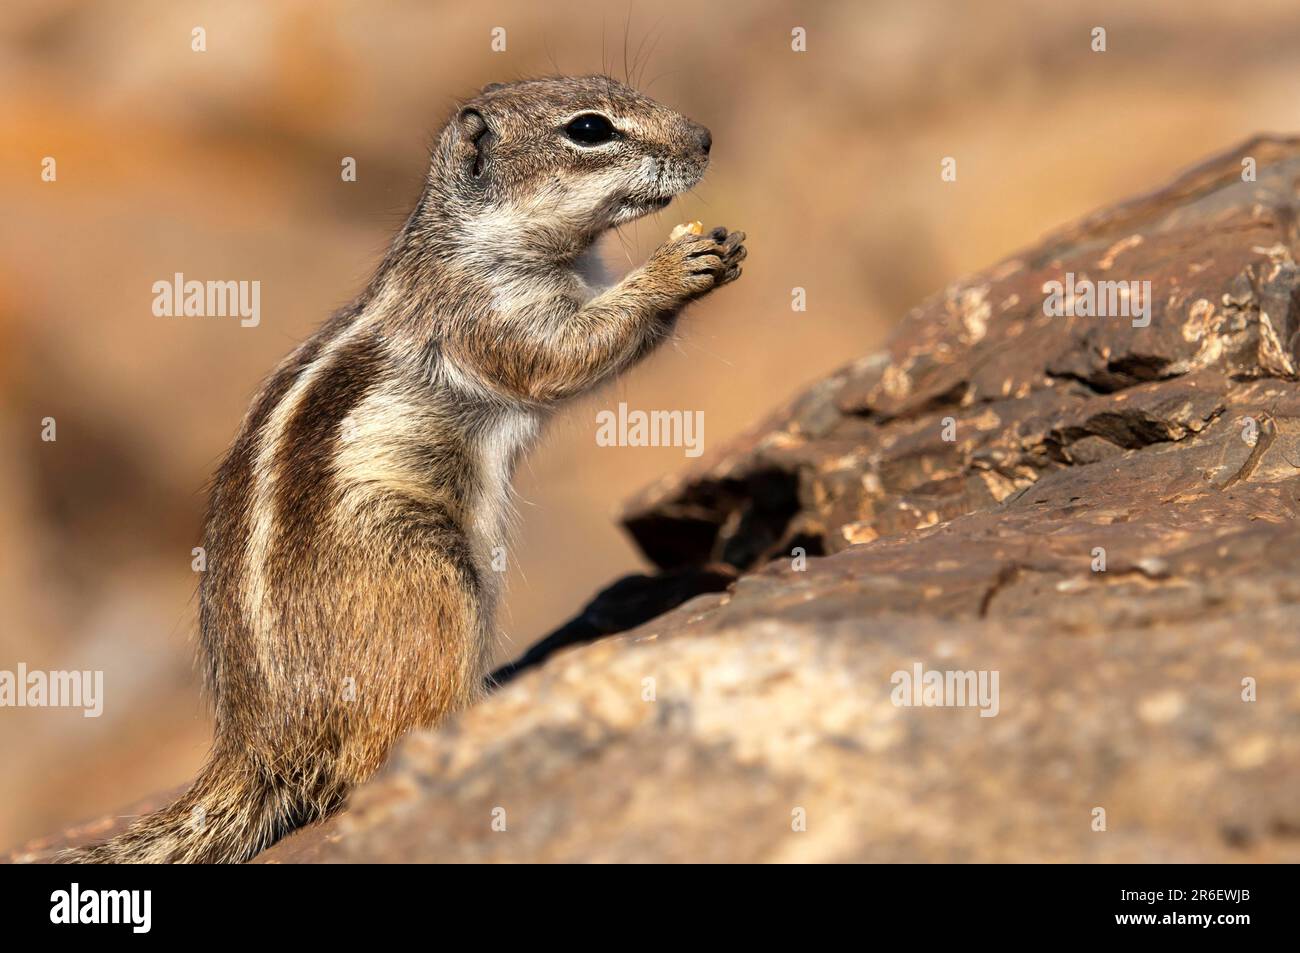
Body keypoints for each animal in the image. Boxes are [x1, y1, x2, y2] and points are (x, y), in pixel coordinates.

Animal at [64, 75, 745, 863]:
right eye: (588, 129)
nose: (705, 138)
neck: (482, 240)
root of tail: (258, 742)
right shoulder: (487, 316)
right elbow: (567, 354)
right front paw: (675, 271)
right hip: (427, 567)